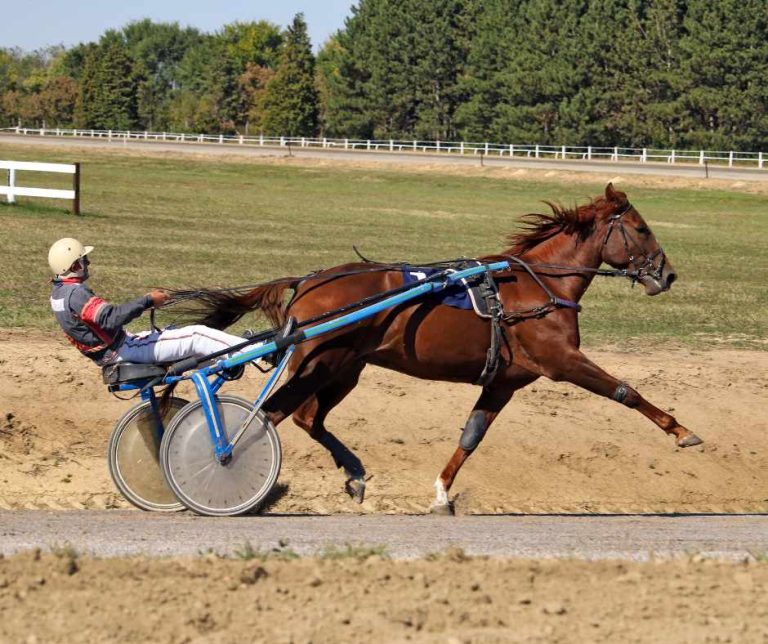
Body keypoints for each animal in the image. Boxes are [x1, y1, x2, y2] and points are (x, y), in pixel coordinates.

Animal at [179, 183, 702, 514]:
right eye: (640, 228)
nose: (668, 274)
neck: (537, 287)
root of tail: (308, 281)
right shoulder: (561, 360)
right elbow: (626, 392)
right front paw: (682, 431)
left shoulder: (505, 382)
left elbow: (471, 437)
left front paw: (442, 494)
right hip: (323, 363)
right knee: (270, 415)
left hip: (344, 368)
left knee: (308, 417)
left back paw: (354, 474)